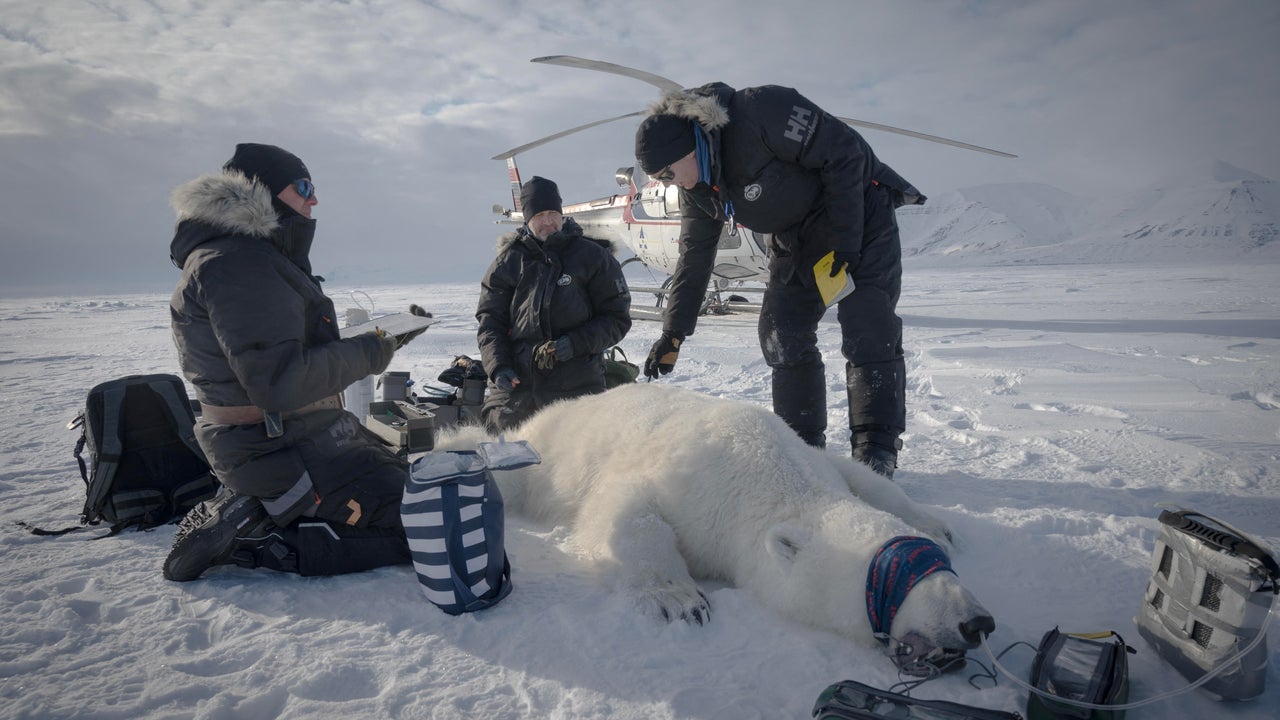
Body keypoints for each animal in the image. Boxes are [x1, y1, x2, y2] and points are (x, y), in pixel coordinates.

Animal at [434, 383, 994, 661]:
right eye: (892, 574)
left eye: (936, 563)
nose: (977, 623)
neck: (764, 473)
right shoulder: (690, 483)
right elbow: (623, 510)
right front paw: (680, 599)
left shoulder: (813, 461)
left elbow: (866, 479)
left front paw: (940, 525)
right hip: (547, 456)